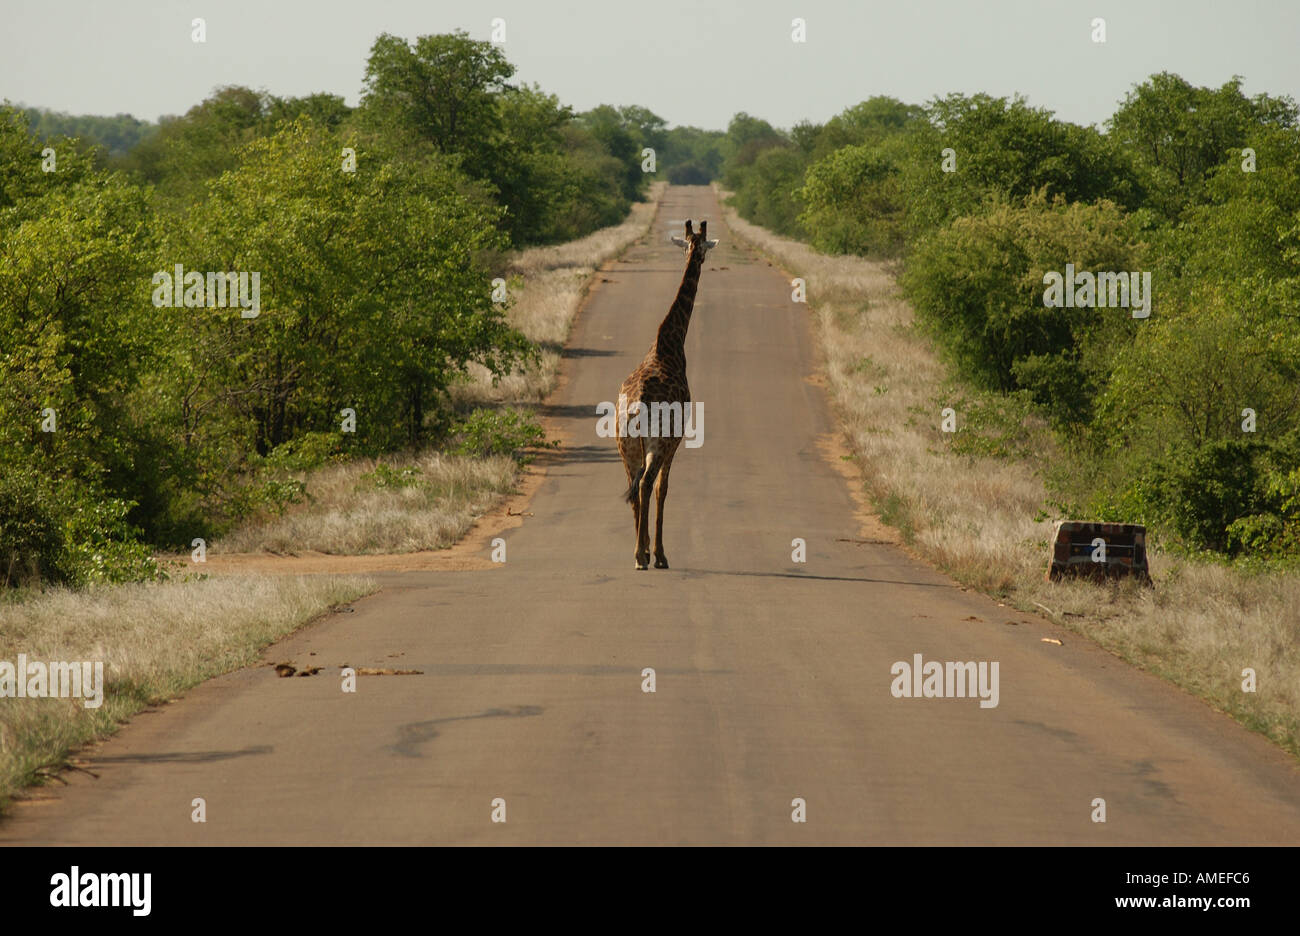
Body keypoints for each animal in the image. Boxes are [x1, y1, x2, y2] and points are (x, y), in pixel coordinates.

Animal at [617, 218, 718, 570]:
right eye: (700, 247)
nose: (699, 259)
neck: (670, 344)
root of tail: (634, 408)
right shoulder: (675, 440)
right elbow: (663, 488)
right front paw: (659, 553)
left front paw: (649, 549)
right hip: (655, 443)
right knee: (647, 485)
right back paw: (644, 555)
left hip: (624, 446)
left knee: (632, 488)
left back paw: (638, 553)